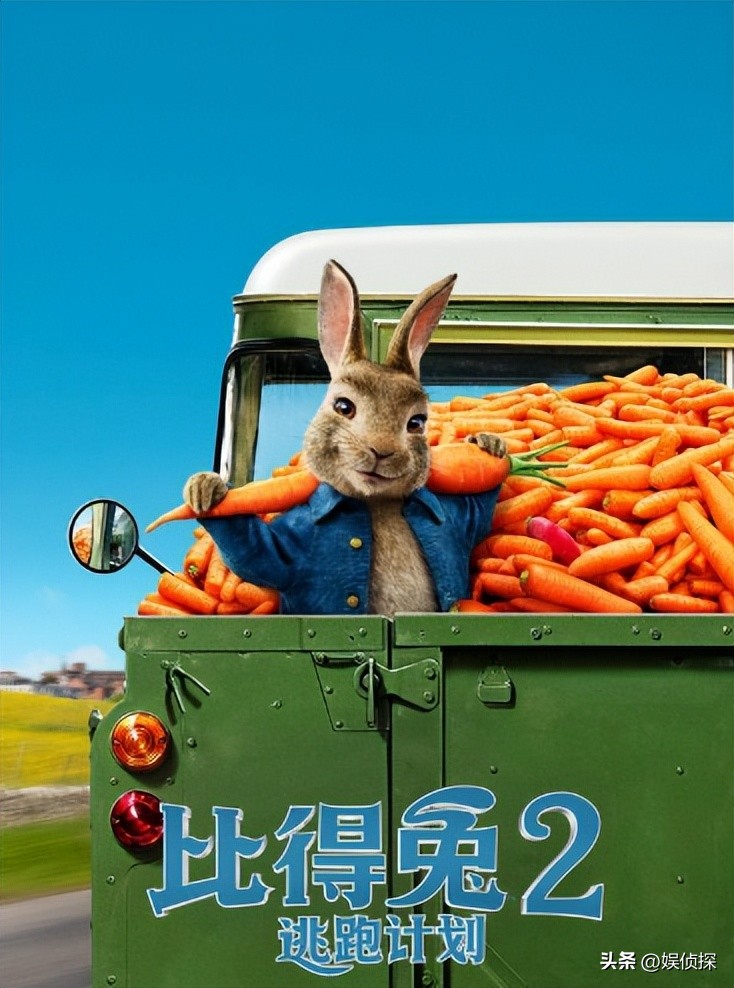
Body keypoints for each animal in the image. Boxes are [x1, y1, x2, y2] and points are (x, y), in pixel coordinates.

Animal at [184, 260, 506, 617]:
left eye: (417, 422)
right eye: (343, 407)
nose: (381, 451)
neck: (376, 504)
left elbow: (477, 513)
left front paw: (489, 444)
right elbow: (257, 553)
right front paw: (206, 488)